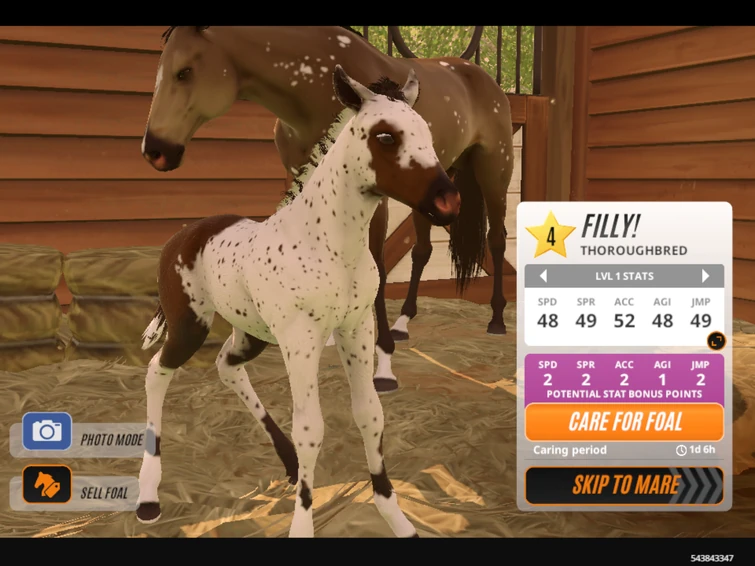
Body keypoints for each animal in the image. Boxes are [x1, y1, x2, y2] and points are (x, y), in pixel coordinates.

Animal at [135, 65, 460, 537]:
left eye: (427, 134)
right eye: (385, 136)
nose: (448, 201)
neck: (329, 244)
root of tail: (181, 235)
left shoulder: (356, 329)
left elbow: (370, 414)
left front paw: (396, 517)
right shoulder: (301, 338)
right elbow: (311, 428)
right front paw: (303, 523)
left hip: (252, 331)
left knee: (227, 366)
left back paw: (287, 464)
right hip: (191, 325)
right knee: (156, 372)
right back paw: (147, 496)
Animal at [141, 26, 515, 394]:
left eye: (184, 71)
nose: (154, 151)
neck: (309, 91)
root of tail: (484, 78)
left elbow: (378, 267)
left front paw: (383, 367)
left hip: (492, 171)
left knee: (497, 238)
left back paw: (497, 320)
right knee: (422, 249)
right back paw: (404, 322)